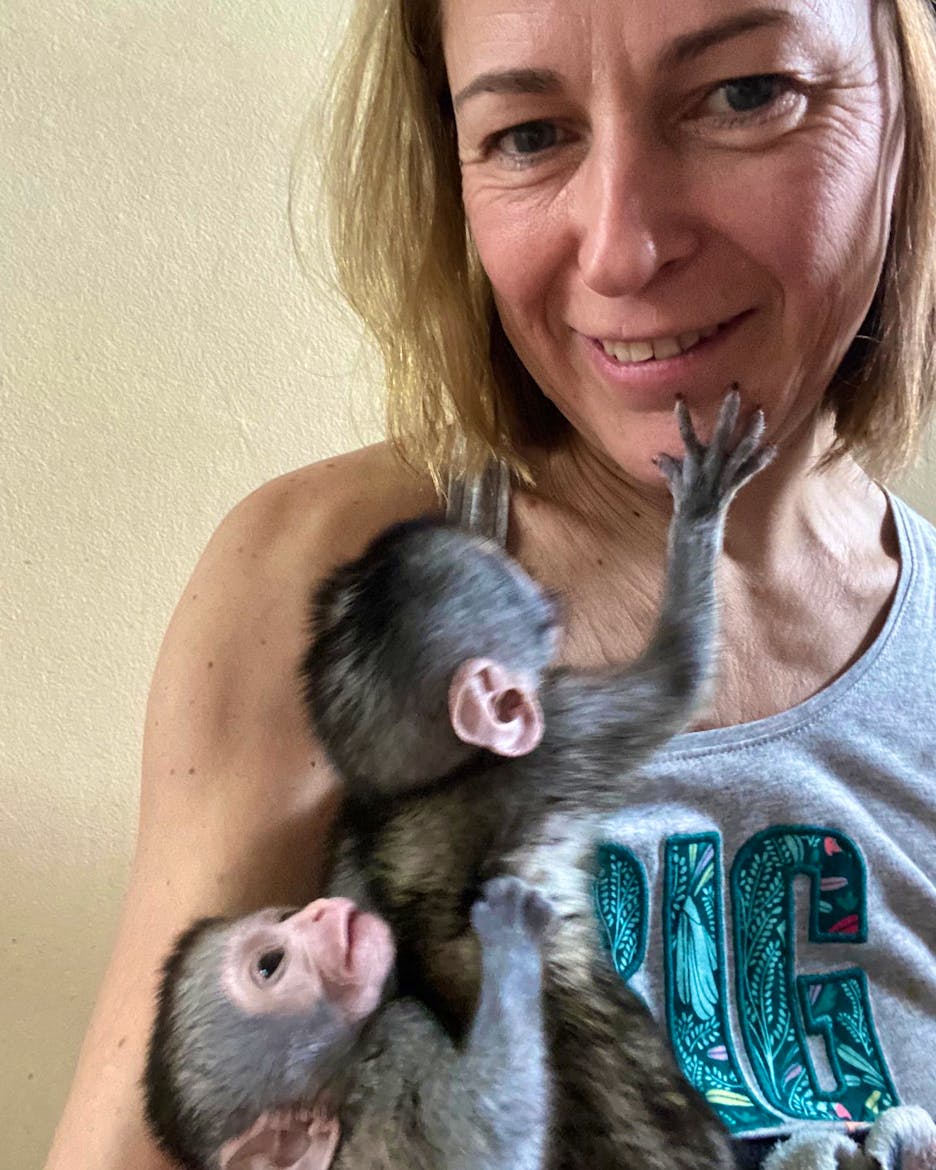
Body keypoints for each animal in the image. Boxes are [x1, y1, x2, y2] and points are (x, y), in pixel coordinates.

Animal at [144, 875, 557, 1170]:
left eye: (284, 917)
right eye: (269, 963)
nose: (318, 911)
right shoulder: (398, 1048)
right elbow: (495, 1135)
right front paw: (511, 936)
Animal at [300, 393, 775, 1170]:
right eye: (540, 616)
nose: (552, 610)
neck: (423, 789)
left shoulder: (353, 840)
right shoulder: (560, 733)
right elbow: (680, 673)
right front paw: (700, 513)